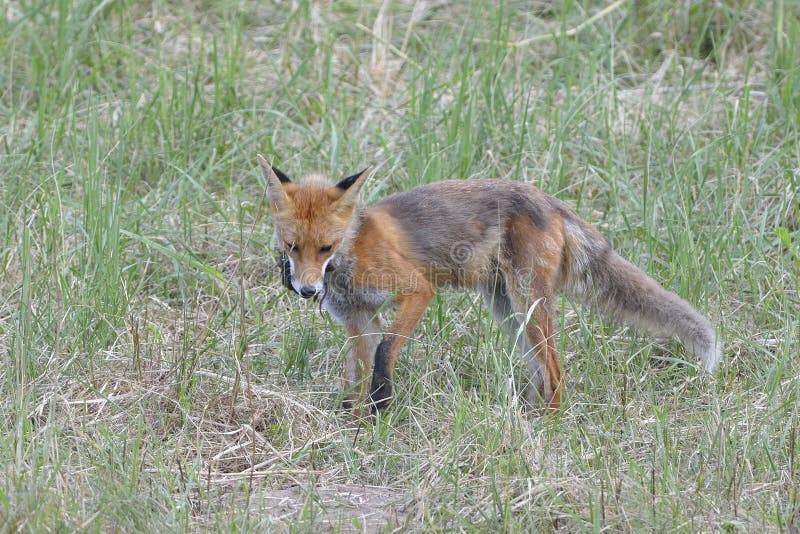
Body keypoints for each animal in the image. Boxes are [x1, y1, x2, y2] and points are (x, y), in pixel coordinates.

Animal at [257, 154, 720, 415]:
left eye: (325, 247)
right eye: (292, 246)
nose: (308, 291)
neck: (351, 253)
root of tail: (549, 201)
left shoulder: (416, 290)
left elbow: (385, 354)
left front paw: (382, 405)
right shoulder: (358, 319)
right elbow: (355, 376)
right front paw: (355, 425)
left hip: (528, 302)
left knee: (556, 371)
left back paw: (551, 429)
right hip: (508, 310)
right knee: (539, 371)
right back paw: (529, 420)